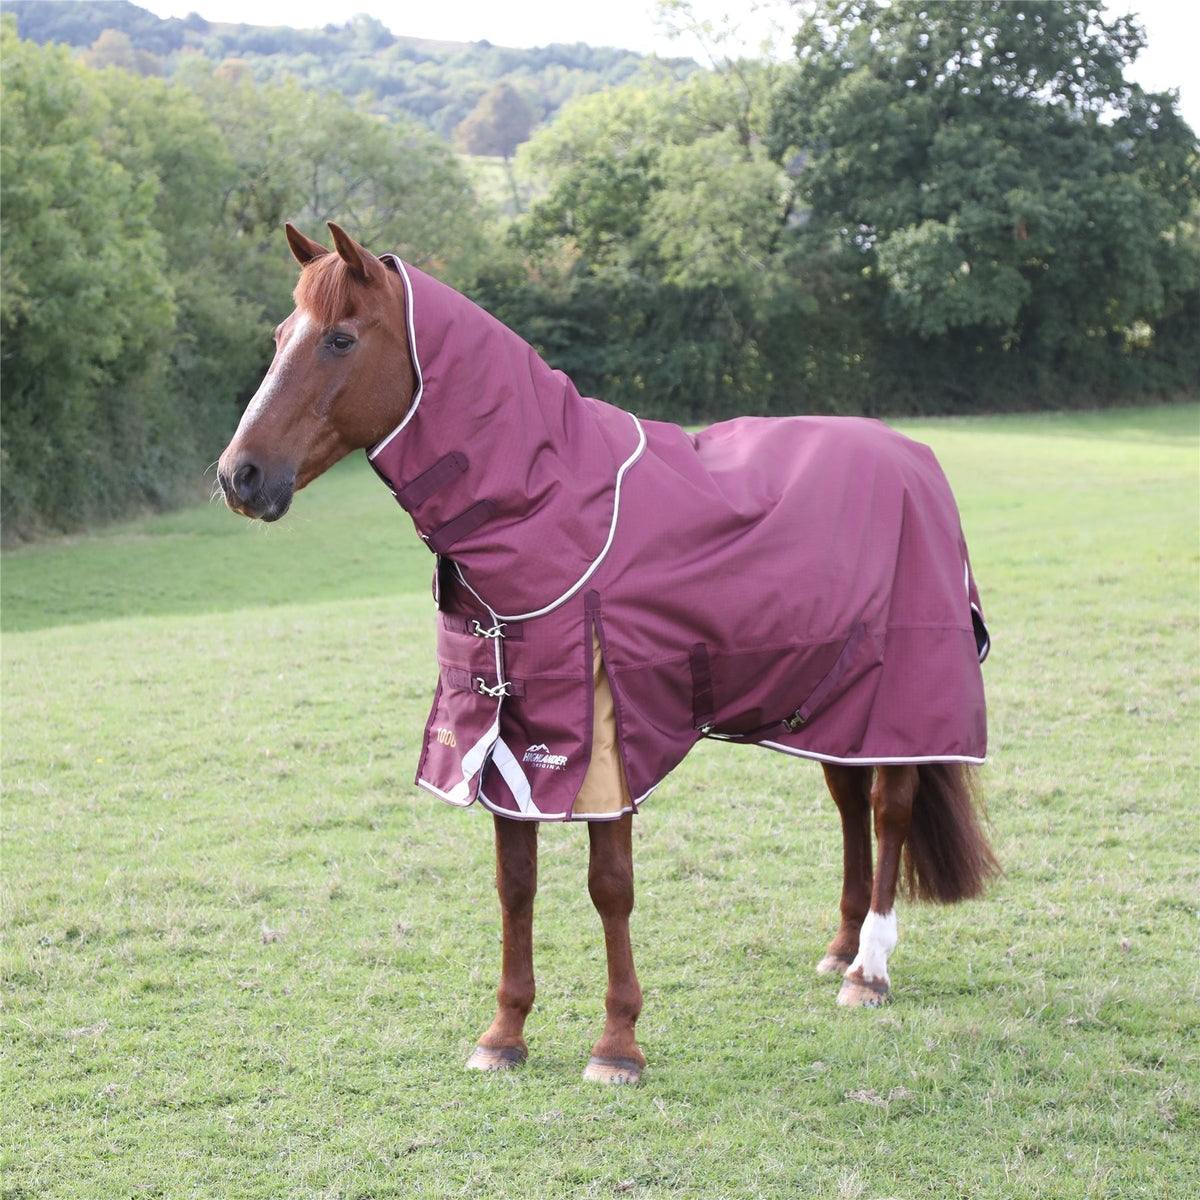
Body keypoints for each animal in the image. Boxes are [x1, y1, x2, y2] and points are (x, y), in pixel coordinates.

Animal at [218, 222, 999, 1085]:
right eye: (280, 335)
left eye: (341, 339)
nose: (239, 476)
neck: (554, 502)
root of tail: (916, 461)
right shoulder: (509, 737)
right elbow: (515, 886)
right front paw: (504, 1033)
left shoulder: (604, 741)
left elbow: (609, 886)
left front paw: (618, 1043)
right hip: (831, 701)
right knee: (850, 803)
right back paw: (840, 945)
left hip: (903, 698)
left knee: (890, 808)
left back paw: (870, 969)